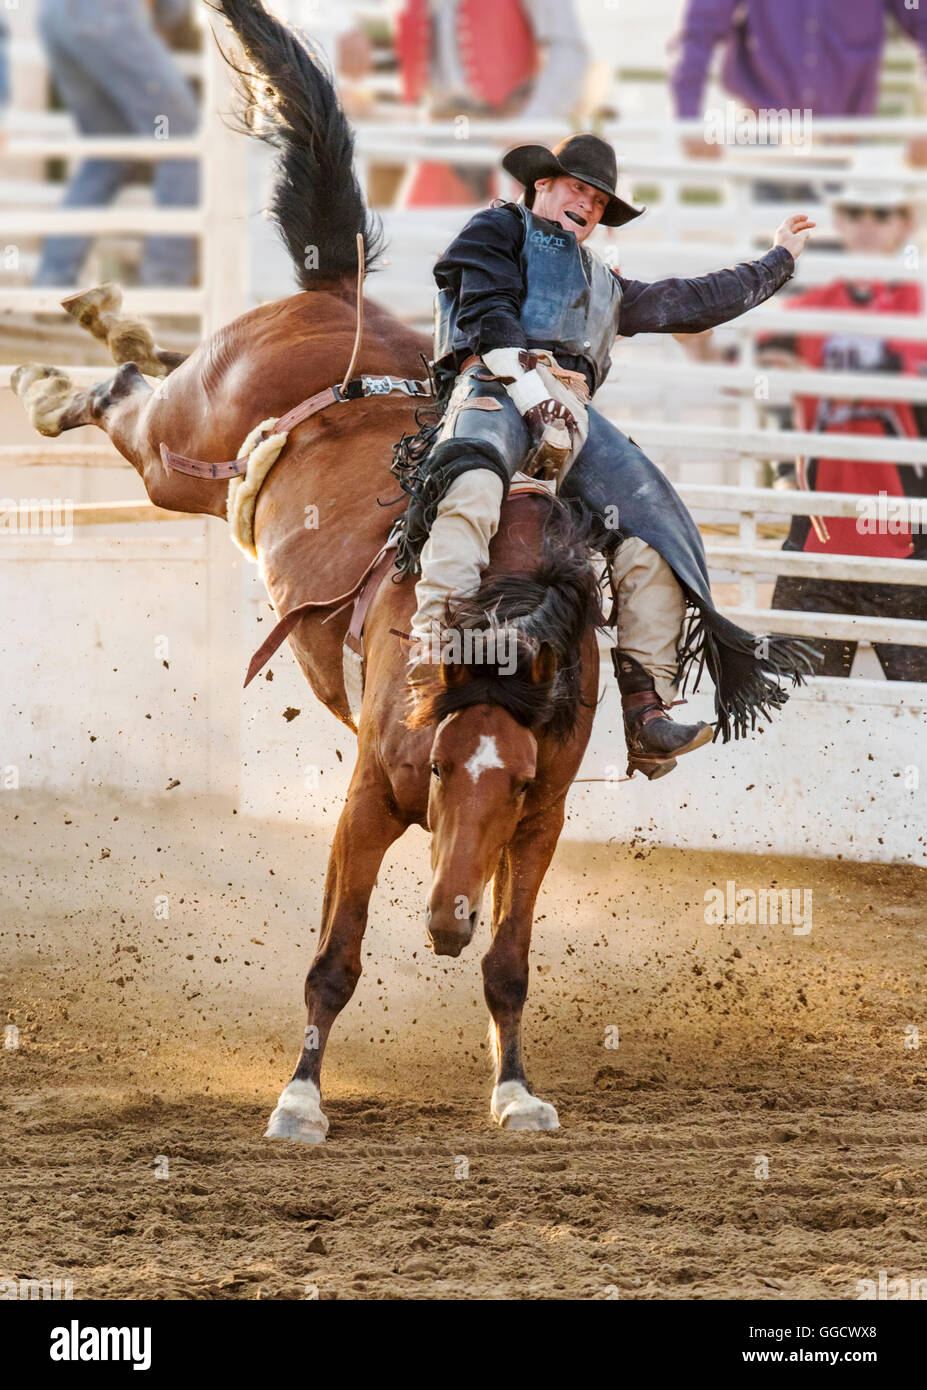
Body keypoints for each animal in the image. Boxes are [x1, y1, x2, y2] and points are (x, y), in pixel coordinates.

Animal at [11, 0, 605, 1141]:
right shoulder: (368, 800)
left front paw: (515, 1092)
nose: (449, 920)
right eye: (438, 771)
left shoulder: (545, 821)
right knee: (129, 402)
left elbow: (511, 965)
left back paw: (109, 327)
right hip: (182, 449)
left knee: (142, 380)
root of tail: (336, 294)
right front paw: (298, 1099)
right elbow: (335, 959)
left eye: (508, 787)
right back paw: (61, 370)